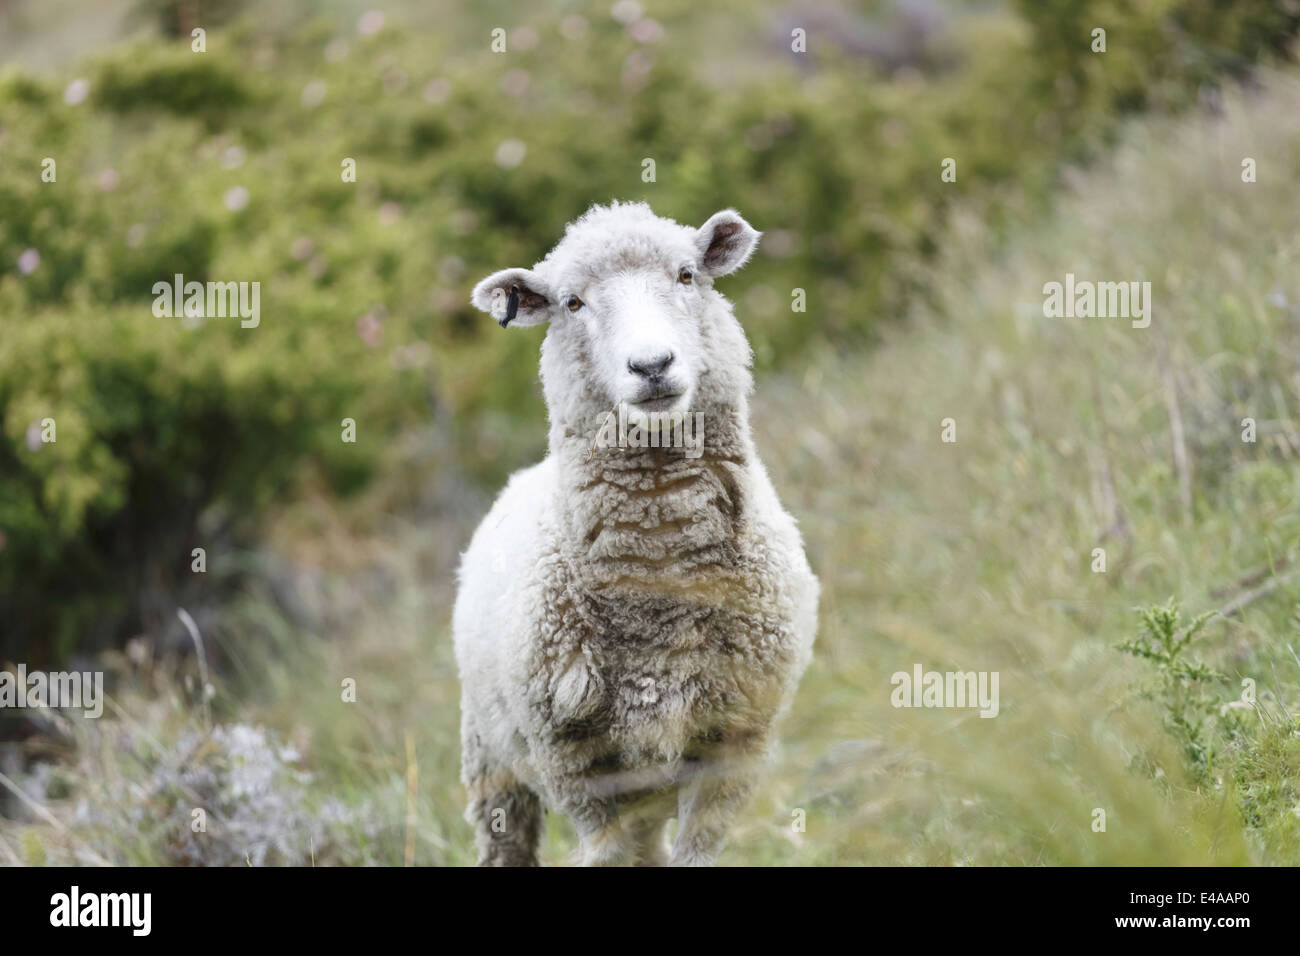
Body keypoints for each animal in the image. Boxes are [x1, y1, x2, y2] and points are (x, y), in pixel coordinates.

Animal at [454, 201, 819, 866]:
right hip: (493, 755)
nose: (652, 366)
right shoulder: (575, 764)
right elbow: (610, 853)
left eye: (687, 275)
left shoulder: (735, 744)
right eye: (571, 302)